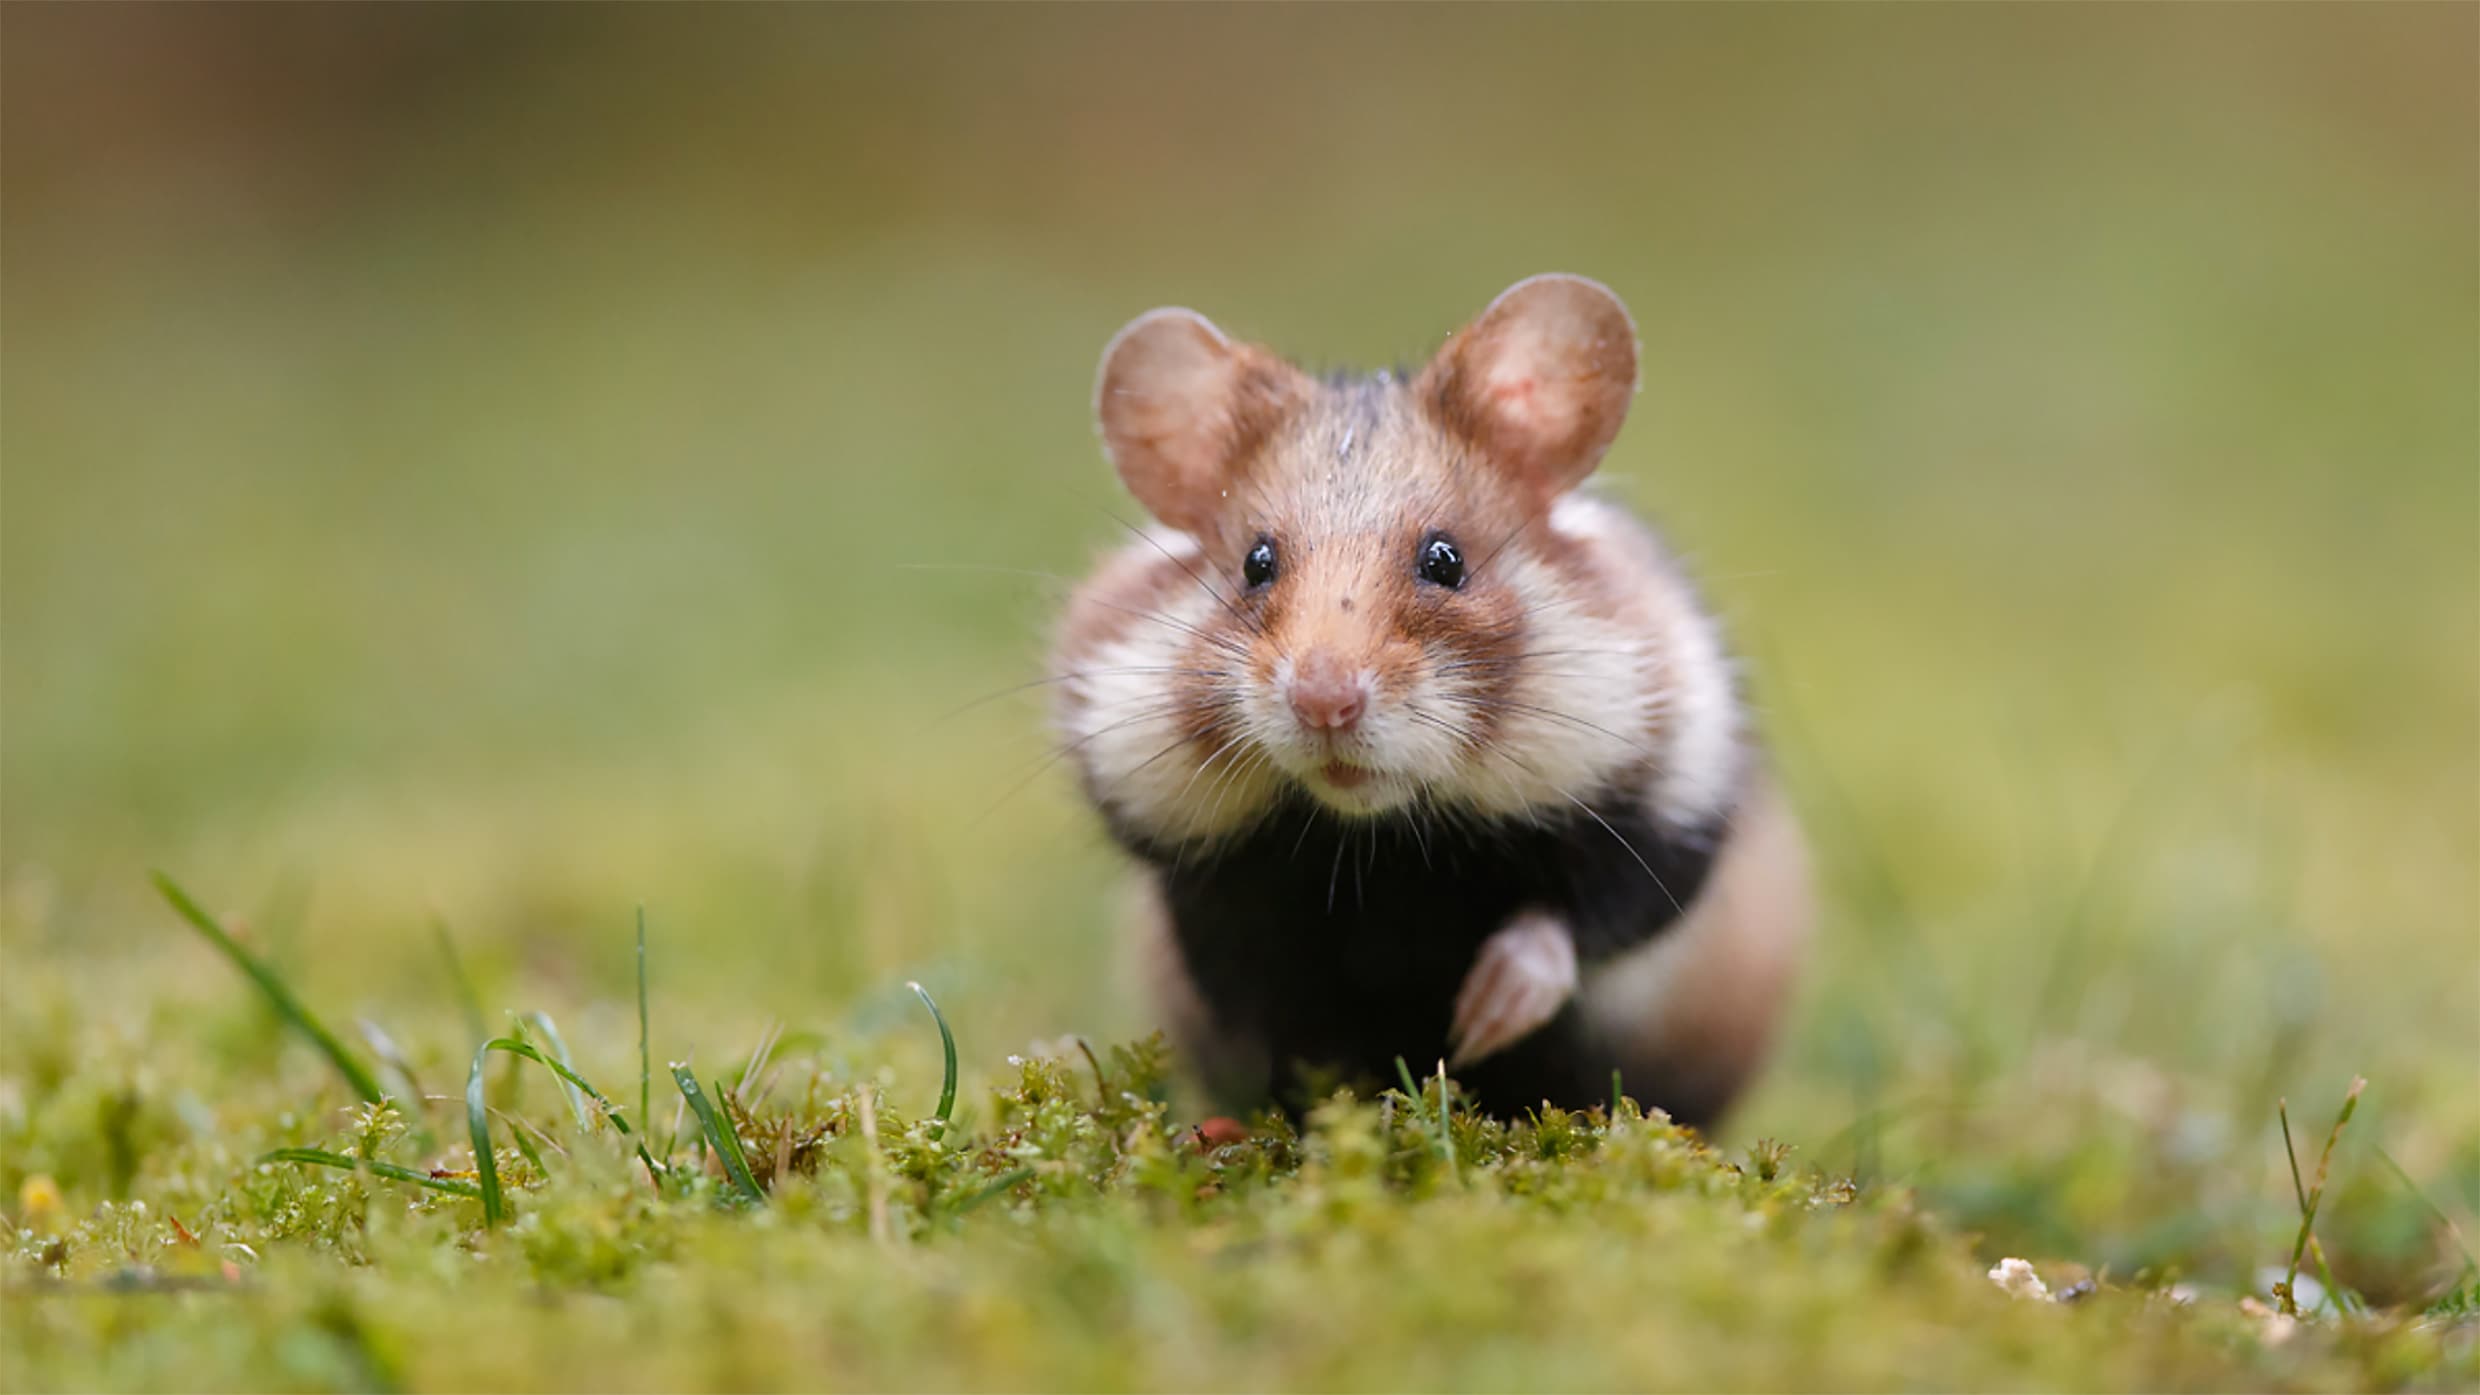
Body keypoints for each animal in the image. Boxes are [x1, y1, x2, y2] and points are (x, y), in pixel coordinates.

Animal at [1052, 274, 1810, 1127]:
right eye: (1255, 562)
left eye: (1445, 560)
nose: (1324, 702)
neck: (1378, 840)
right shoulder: (1207, 890)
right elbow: (1278, 1021)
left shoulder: (1676, 801)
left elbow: (1578, 922)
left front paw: (1479, 1021)